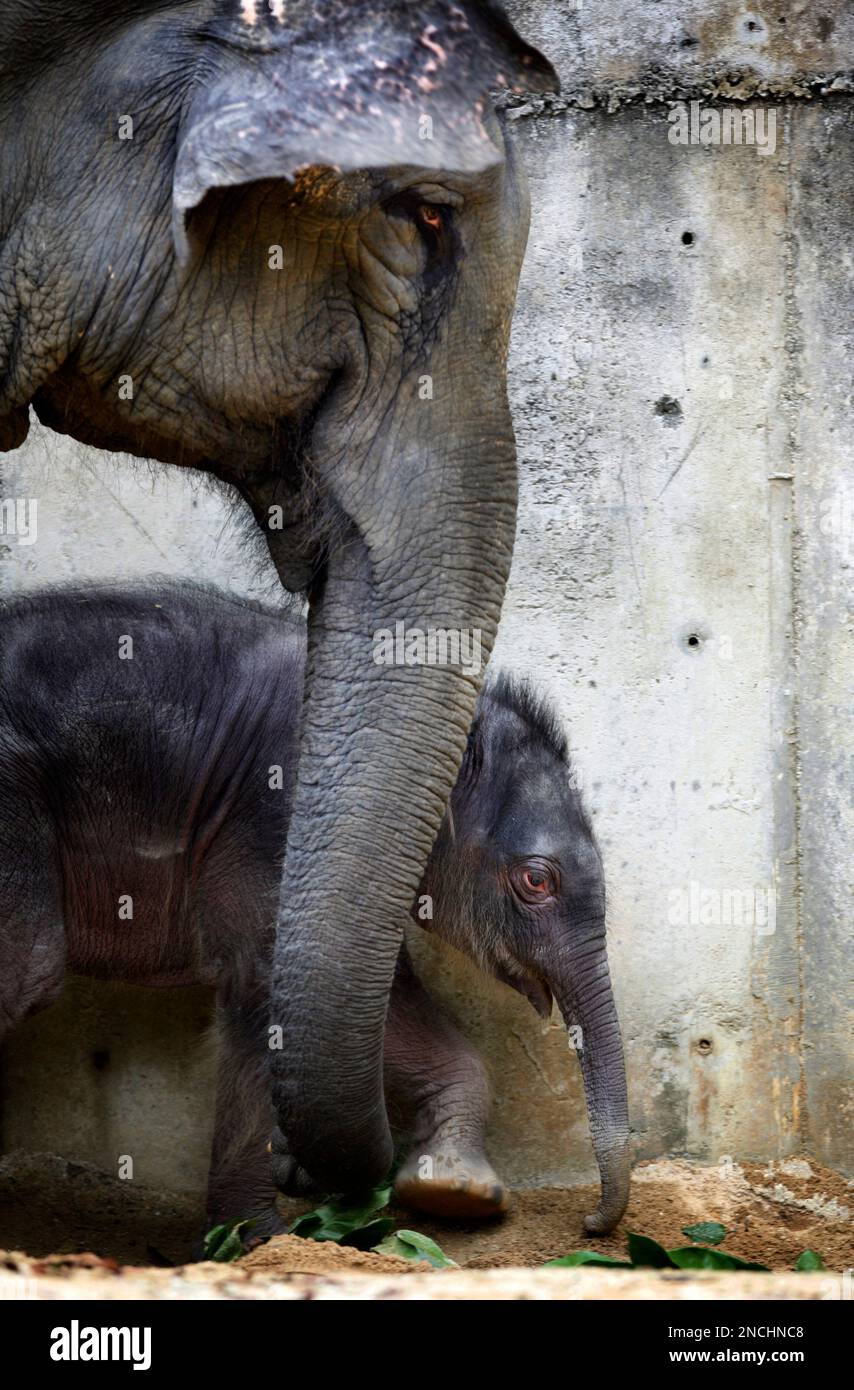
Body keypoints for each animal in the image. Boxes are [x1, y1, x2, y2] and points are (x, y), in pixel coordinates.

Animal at [0, 581, 631, 1234]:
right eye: (536, 880)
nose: (590, 1223)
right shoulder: (279, 818)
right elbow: (266, 986)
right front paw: (259, 1241)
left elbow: (372, 1002)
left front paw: (457, 1191)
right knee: (25, 971)